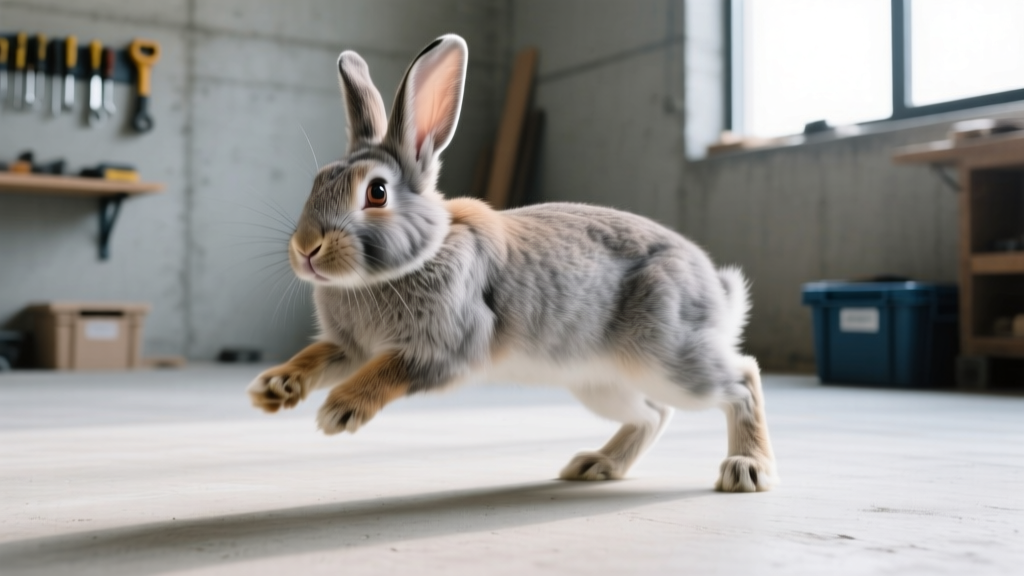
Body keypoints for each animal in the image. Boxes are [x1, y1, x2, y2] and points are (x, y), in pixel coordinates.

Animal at [247, 34, 777, 492]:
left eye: (376, 192)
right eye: (318, 181)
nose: (306, 248)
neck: (413, 259)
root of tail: (716, 291)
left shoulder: (445, 346)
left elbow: (390, 371)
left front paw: (341, 409)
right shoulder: (351, 347)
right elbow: (320, 357)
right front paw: (275, 387)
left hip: (669, 356)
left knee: (741, 379)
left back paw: (747, 469)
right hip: (604, 383)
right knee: (654, 413)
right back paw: (598, 465)